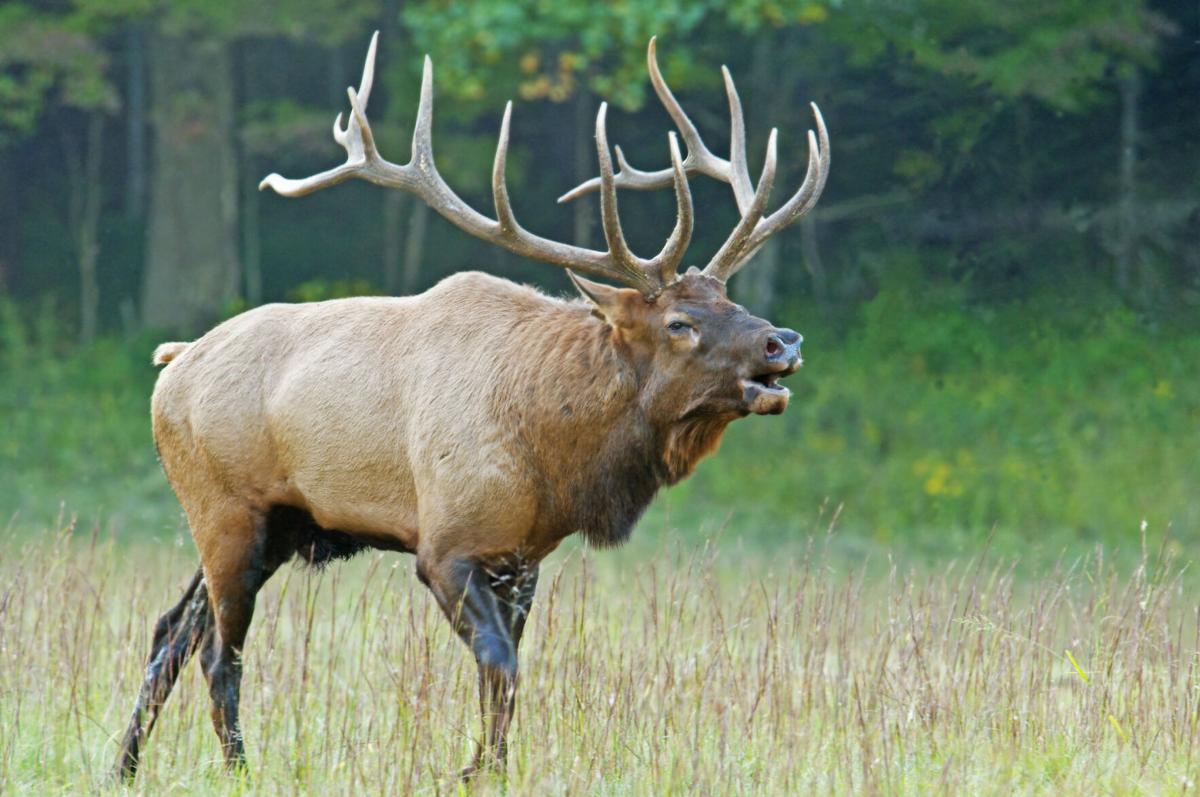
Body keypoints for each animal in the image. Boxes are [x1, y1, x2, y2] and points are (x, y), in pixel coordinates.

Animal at [114, 32, 829, 781]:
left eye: (729, 298)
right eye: (680, 323)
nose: (784, 341)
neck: (553, 454)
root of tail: (172, 365)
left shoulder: (524, 556)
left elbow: (504, 676)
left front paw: (492, 765)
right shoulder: (447, 543)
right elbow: (502, 664)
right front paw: (470, 769)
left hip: (271, 524)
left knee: (170, 630)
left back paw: (123, 767)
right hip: (224, 509)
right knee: (217, 653)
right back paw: (240, 769)